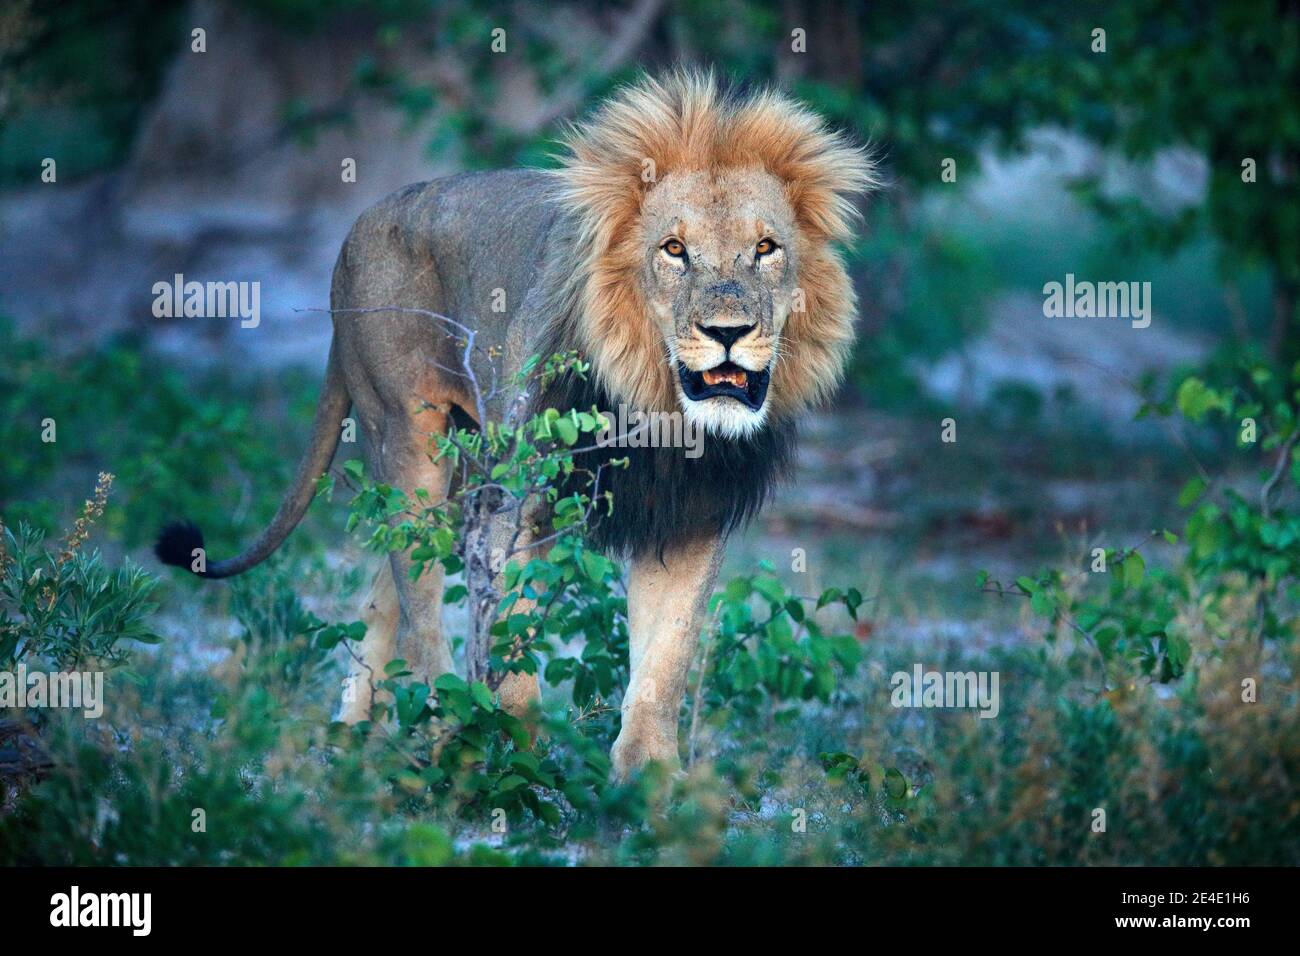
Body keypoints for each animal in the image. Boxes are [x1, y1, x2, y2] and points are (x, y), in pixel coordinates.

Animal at [156, 71, 876, 779]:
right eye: (675, 250)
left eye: (765, 248)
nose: (729, 332)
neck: (662, 410)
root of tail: (358, 225)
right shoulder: (517, 509)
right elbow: (513, 652)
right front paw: (514, 766)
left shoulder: (689, 518)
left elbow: (664, 664)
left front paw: (648, 787)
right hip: (412, 440)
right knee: (418, 608)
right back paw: (443, 740)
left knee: (383, 591)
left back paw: (351, 739)